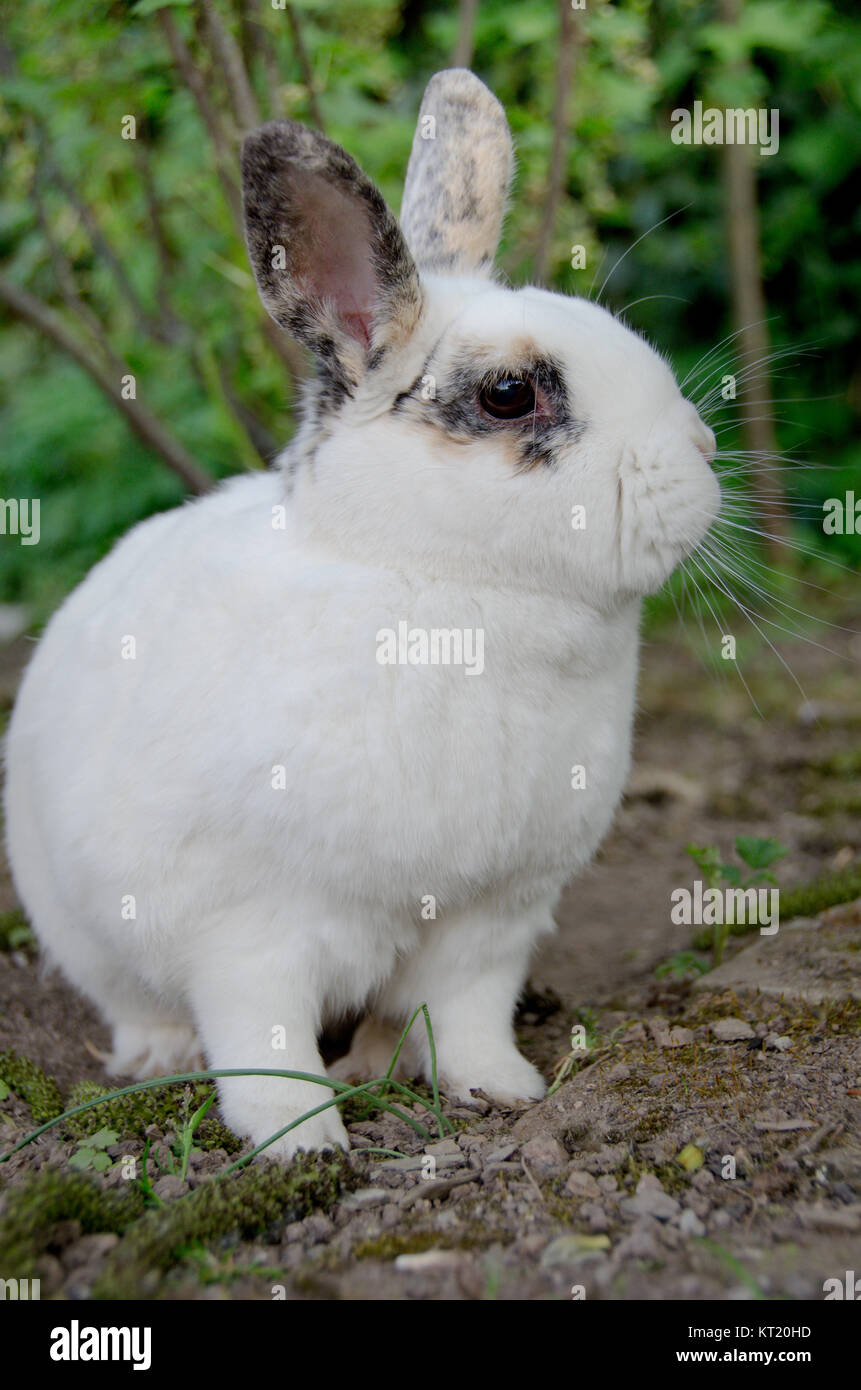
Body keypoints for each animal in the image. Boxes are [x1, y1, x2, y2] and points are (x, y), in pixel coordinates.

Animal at [3, 69, 720, 1160]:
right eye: (508, 394)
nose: (703, 450)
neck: (448, 593)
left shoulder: (492, 922)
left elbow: (468, 1014)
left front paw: (502, 1089)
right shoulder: (248, 933)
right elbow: (263, 1040)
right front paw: (299, 1140)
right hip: (82, 927)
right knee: (140, 1004)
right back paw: (164, 1053)